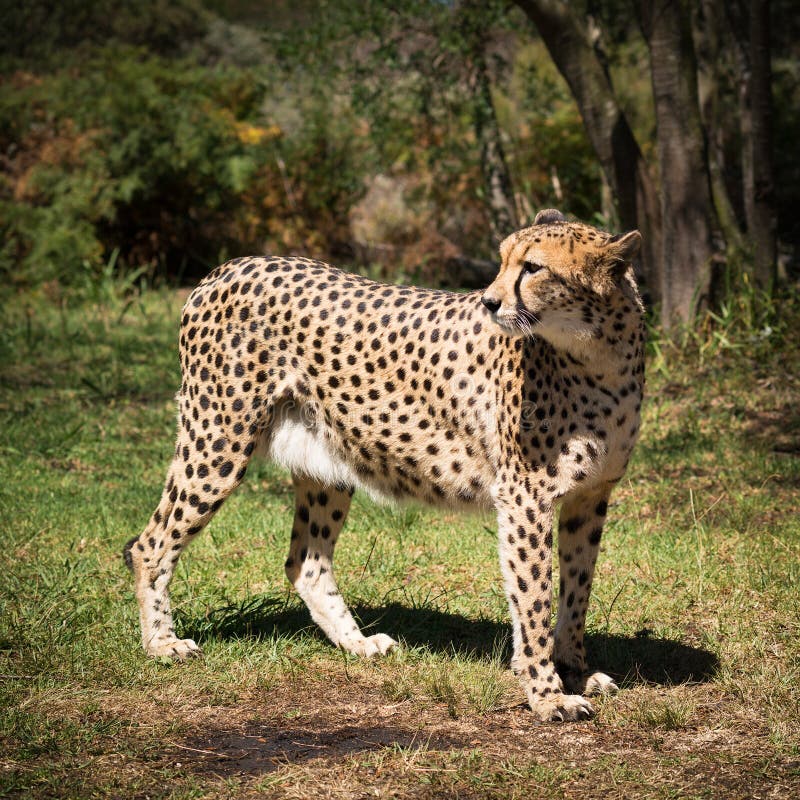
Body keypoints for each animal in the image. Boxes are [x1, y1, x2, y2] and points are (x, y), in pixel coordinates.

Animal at [123, 208, 645, 722]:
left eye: (533, 267)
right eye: (503, 261)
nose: (489, 303)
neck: (598, 355)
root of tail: (230, 266)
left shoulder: (590, 497)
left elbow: (576, 590)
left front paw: (575, 671)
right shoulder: (524, 499)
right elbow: (533, 598)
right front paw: (547, 693)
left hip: (326, 464)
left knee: (305, 562)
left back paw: (357, 643)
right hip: (218, 440)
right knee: (149, 543)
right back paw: (162, 644)